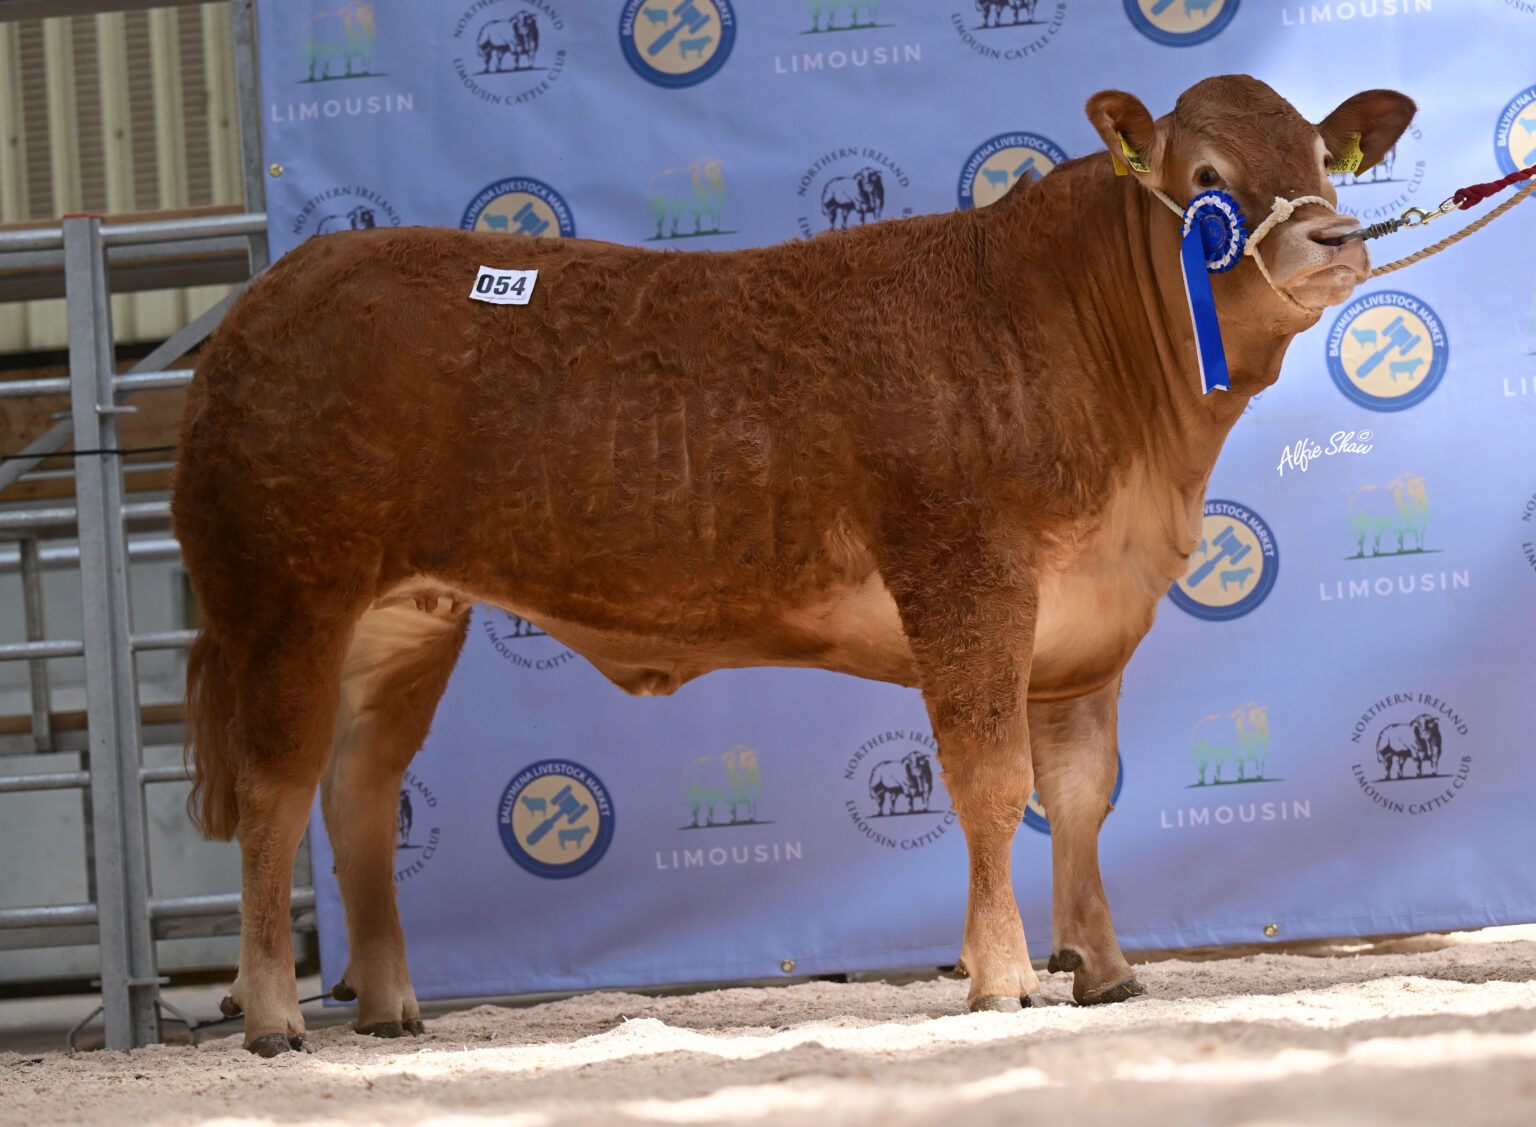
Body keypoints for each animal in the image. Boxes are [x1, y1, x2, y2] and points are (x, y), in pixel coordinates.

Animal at [172, 76, 1411, 1053]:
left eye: (1322, 157)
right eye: (1207, 174)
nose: (1339, 239)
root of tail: (276, 290)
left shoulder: (1089, 619)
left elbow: (1081, 789)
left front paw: (1103, 968)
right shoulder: (966, 579)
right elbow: (991, 781)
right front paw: (1003, 975)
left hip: (406, 616)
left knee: (361, 790)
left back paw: (390, 1004)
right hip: (286, 594)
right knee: (278, 790)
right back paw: (274, 1015)